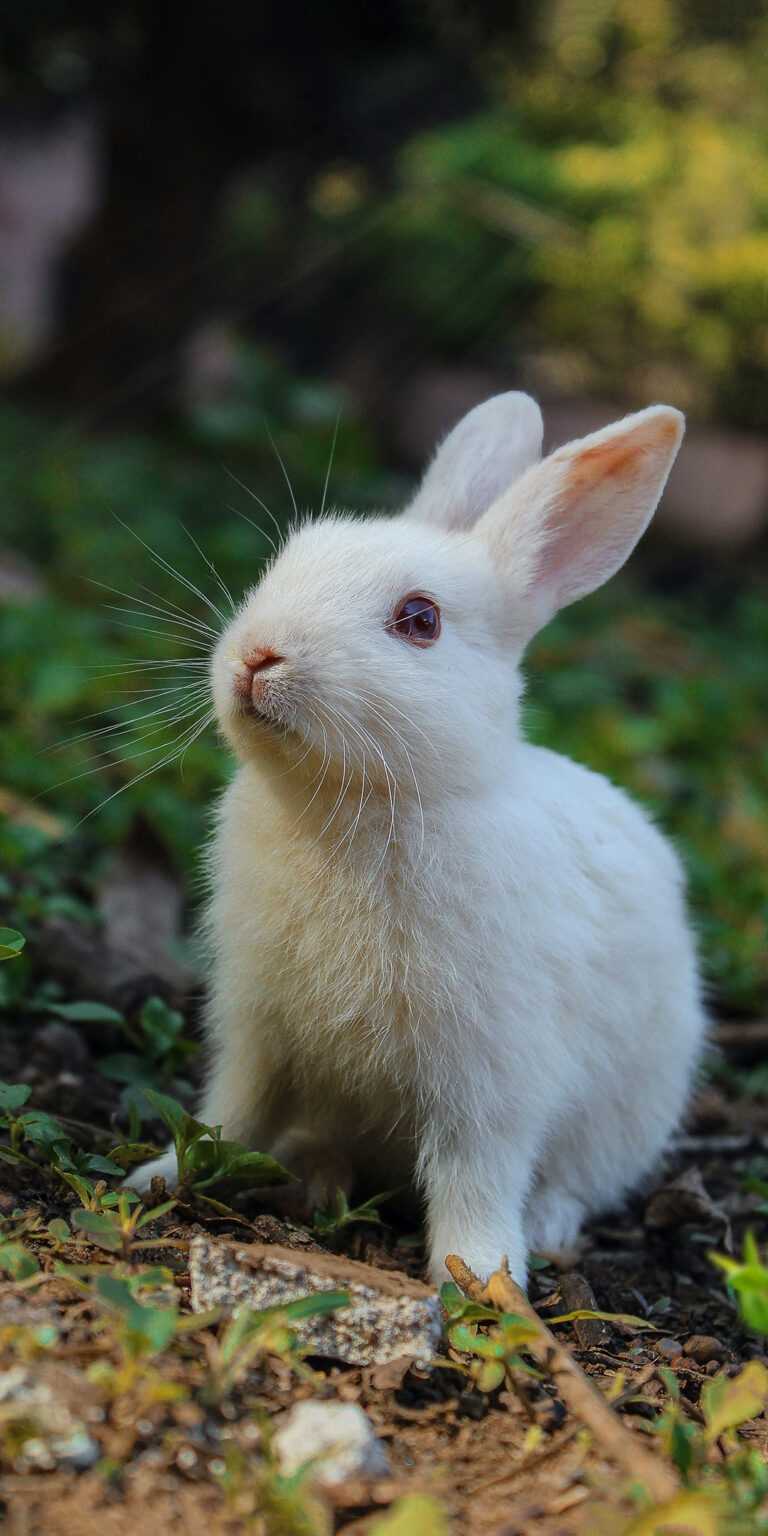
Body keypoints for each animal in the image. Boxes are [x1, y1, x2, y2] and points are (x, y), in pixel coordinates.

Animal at [129, 391, 706, 1287]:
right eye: (286, 561)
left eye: (420, 620)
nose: (258, 656)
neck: (358, 805)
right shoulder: (256, 1029)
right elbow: (231, 1111)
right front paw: (161, 1175)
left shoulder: (490, 1073)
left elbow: (476, 1172)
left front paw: (481, 1277)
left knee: (576, 1180)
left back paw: (545, 1227)